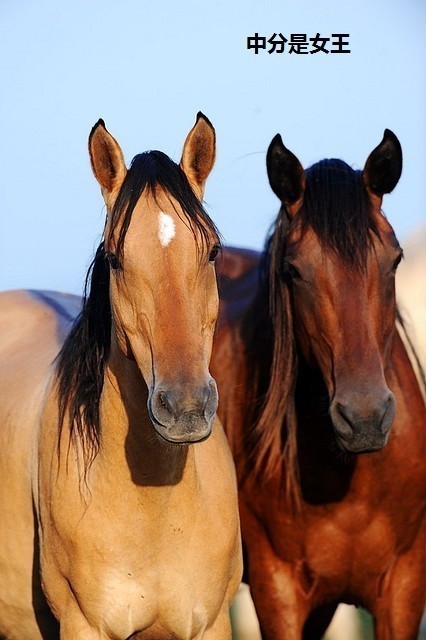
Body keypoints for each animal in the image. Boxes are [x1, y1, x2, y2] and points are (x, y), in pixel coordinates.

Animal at [0, 114, 242, 640]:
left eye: (213, 252)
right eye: (115, 258)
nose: (186, 407)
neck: (156, 512)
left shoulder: (212, 624)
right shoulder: (85, 625)